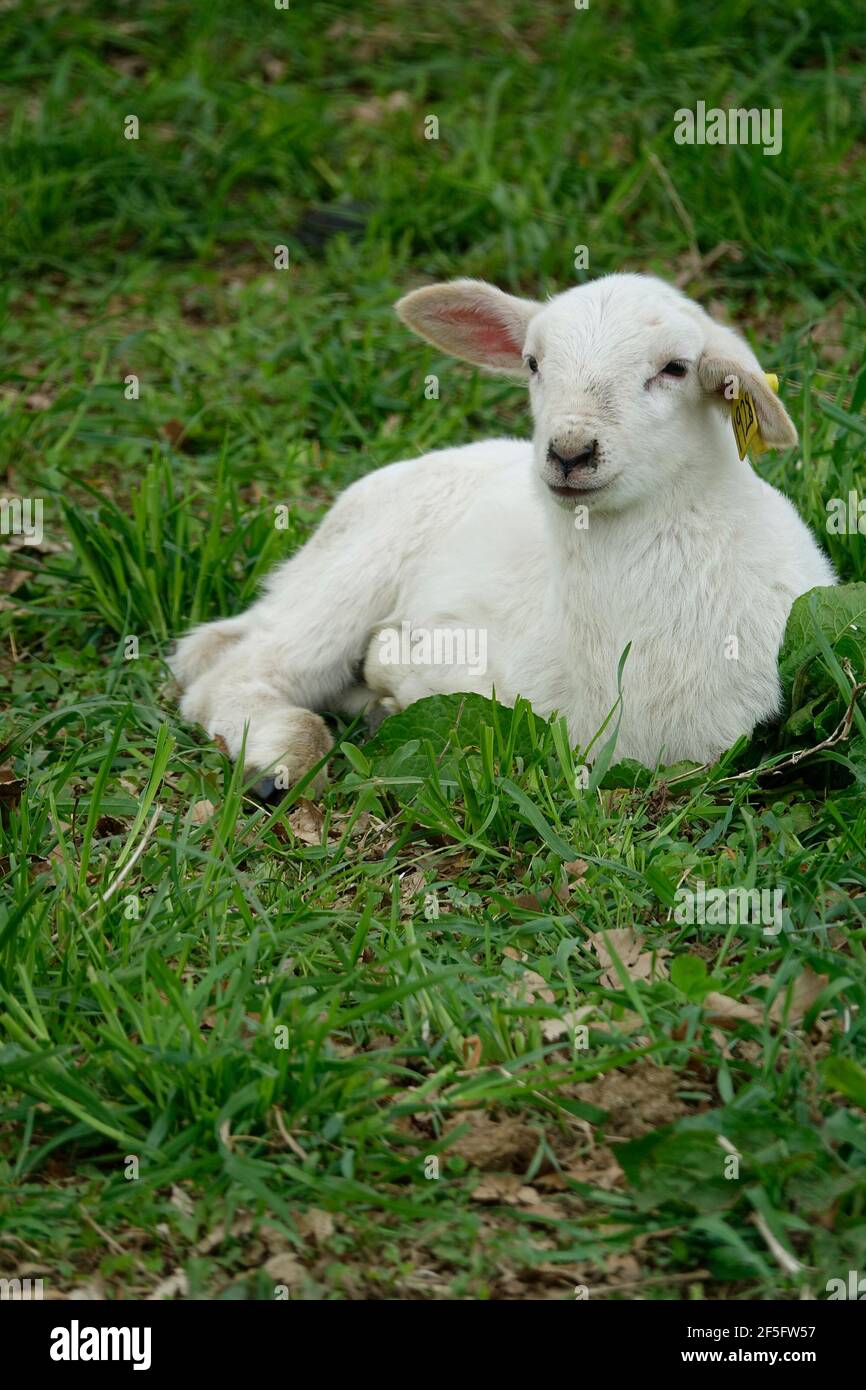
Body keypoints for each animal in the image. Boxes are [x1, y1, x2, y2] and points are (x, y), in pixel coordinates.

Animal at [170, 272, 835, 787]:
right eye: (533, 364)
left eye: (675, 368)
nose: (570, 452)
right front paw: (385, 680)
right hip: (349, 577)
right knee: (228, 676)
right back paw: (284, 749)